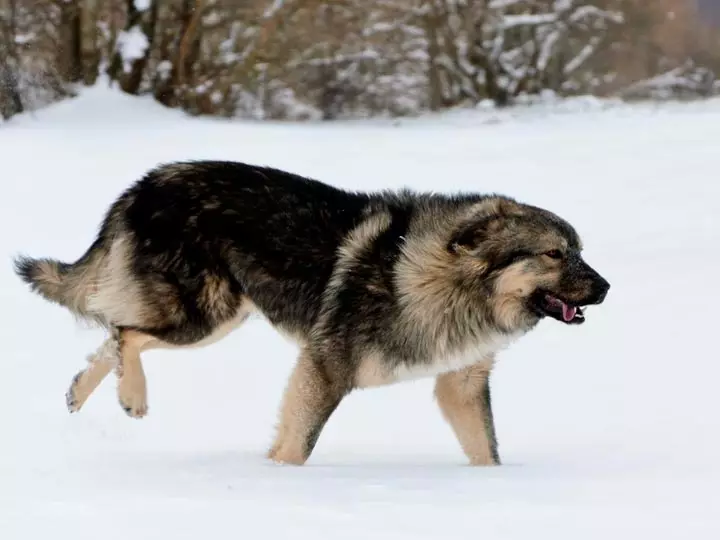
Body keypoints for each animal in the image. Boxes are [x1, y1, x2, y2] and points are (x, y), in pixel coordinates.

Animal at [12, 159, 608, 464]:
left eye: (581, 250)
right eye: (555, 254)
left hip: (221, 315)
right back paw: (132, 397)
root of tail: (143, 184)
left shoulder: (458, 385)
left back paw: (81, 393)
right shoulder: (326, 367)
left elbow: (486, 450)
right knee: (124, 332)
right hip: (205, 316)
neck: (442, 281)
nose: (606, 288)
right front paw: (282, 485)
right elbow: (299, 443)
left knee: (113, 333)